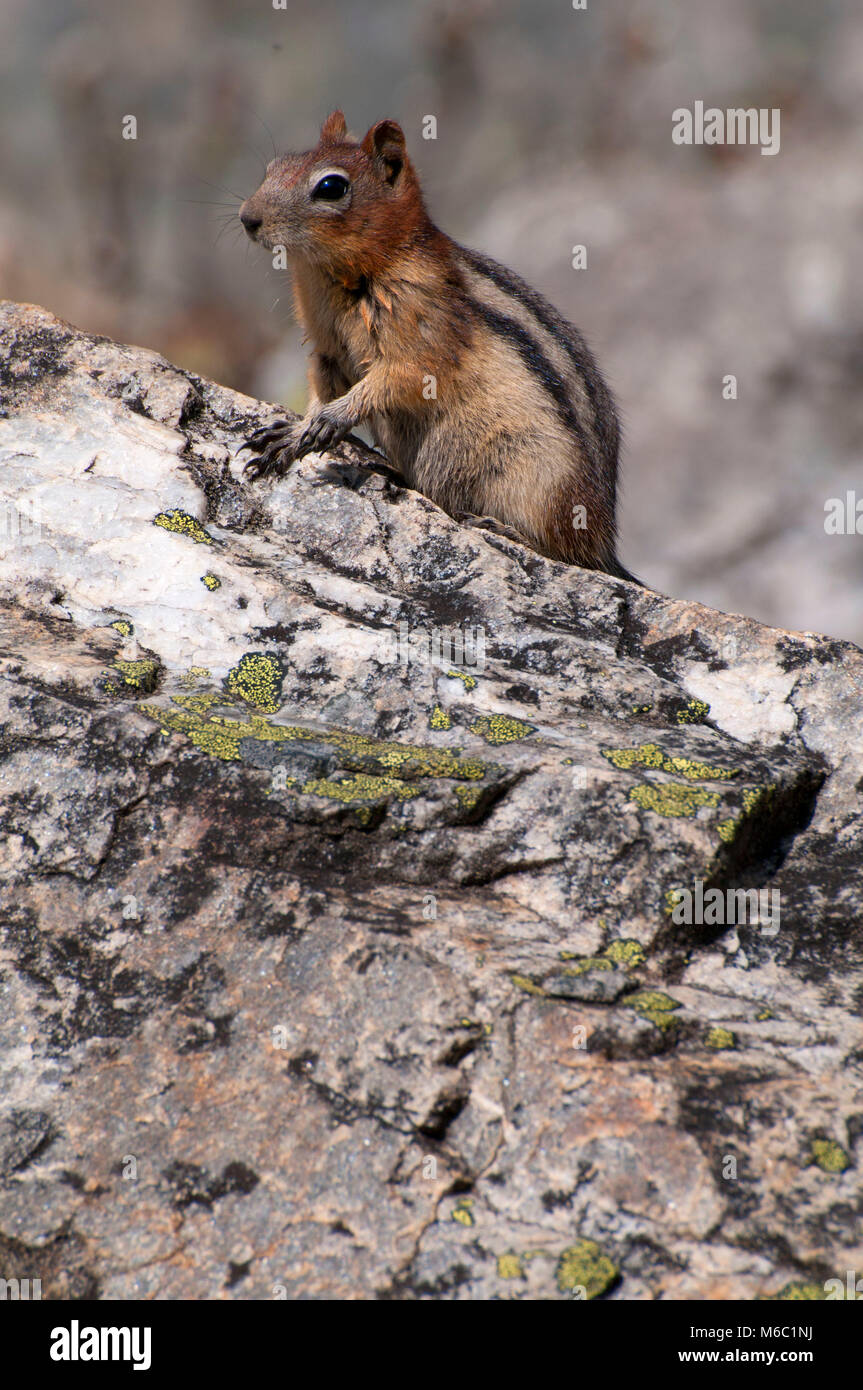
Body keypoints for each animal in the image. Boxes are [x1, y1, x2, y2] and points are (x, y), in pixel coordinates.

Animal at [238, 110, 637, 582]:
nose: (247, 218)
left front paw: (333, 419)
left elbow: (394, 379)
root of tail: (605, 541)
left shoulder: (421, 337)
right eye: (273, 168)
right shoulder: (327, 349)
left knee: (565, 552)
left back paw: (499, 526)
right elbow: (321, 387)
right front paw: (292, 433)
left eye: (331, 187)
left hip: (540, 481)